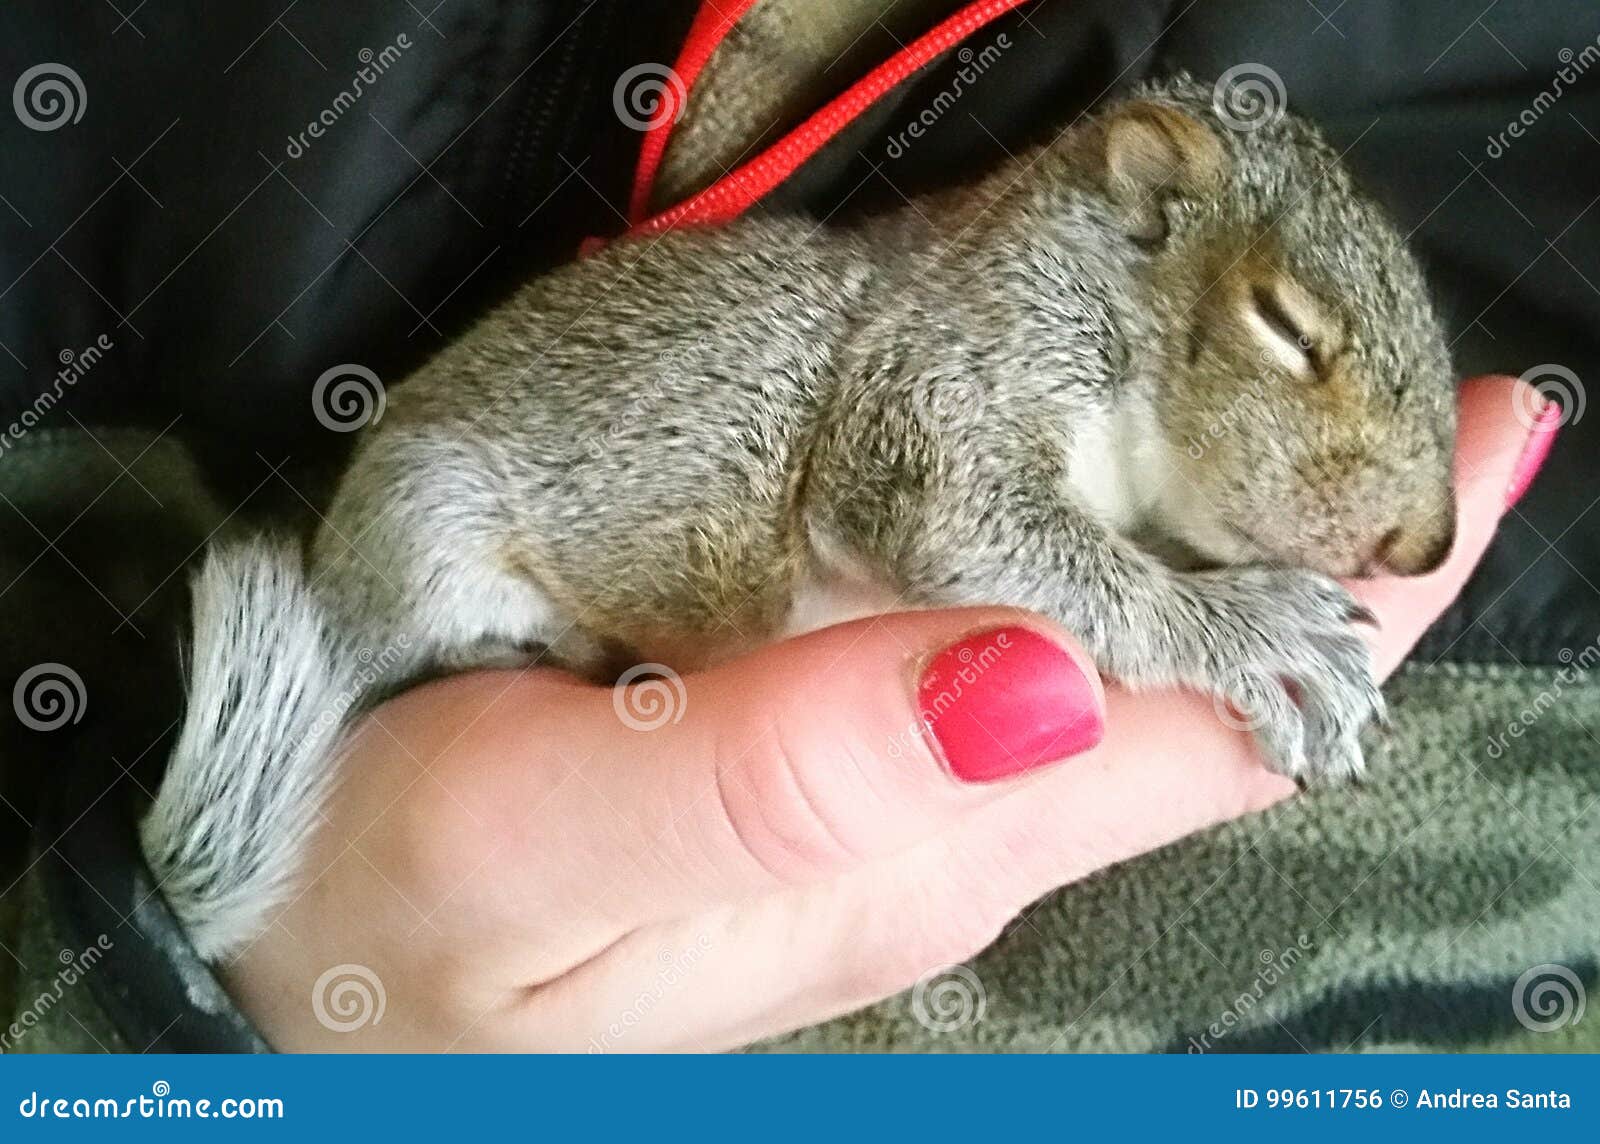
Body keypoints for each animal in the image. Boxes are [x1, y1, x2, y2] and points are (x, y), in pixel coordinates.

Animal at [147, 76, 1457, 958]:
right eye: (1282, 322)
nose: (1425, 542)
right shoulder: (931, 392)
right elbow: (1000, 530)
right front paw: (1255, 634)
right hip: (429, 523)